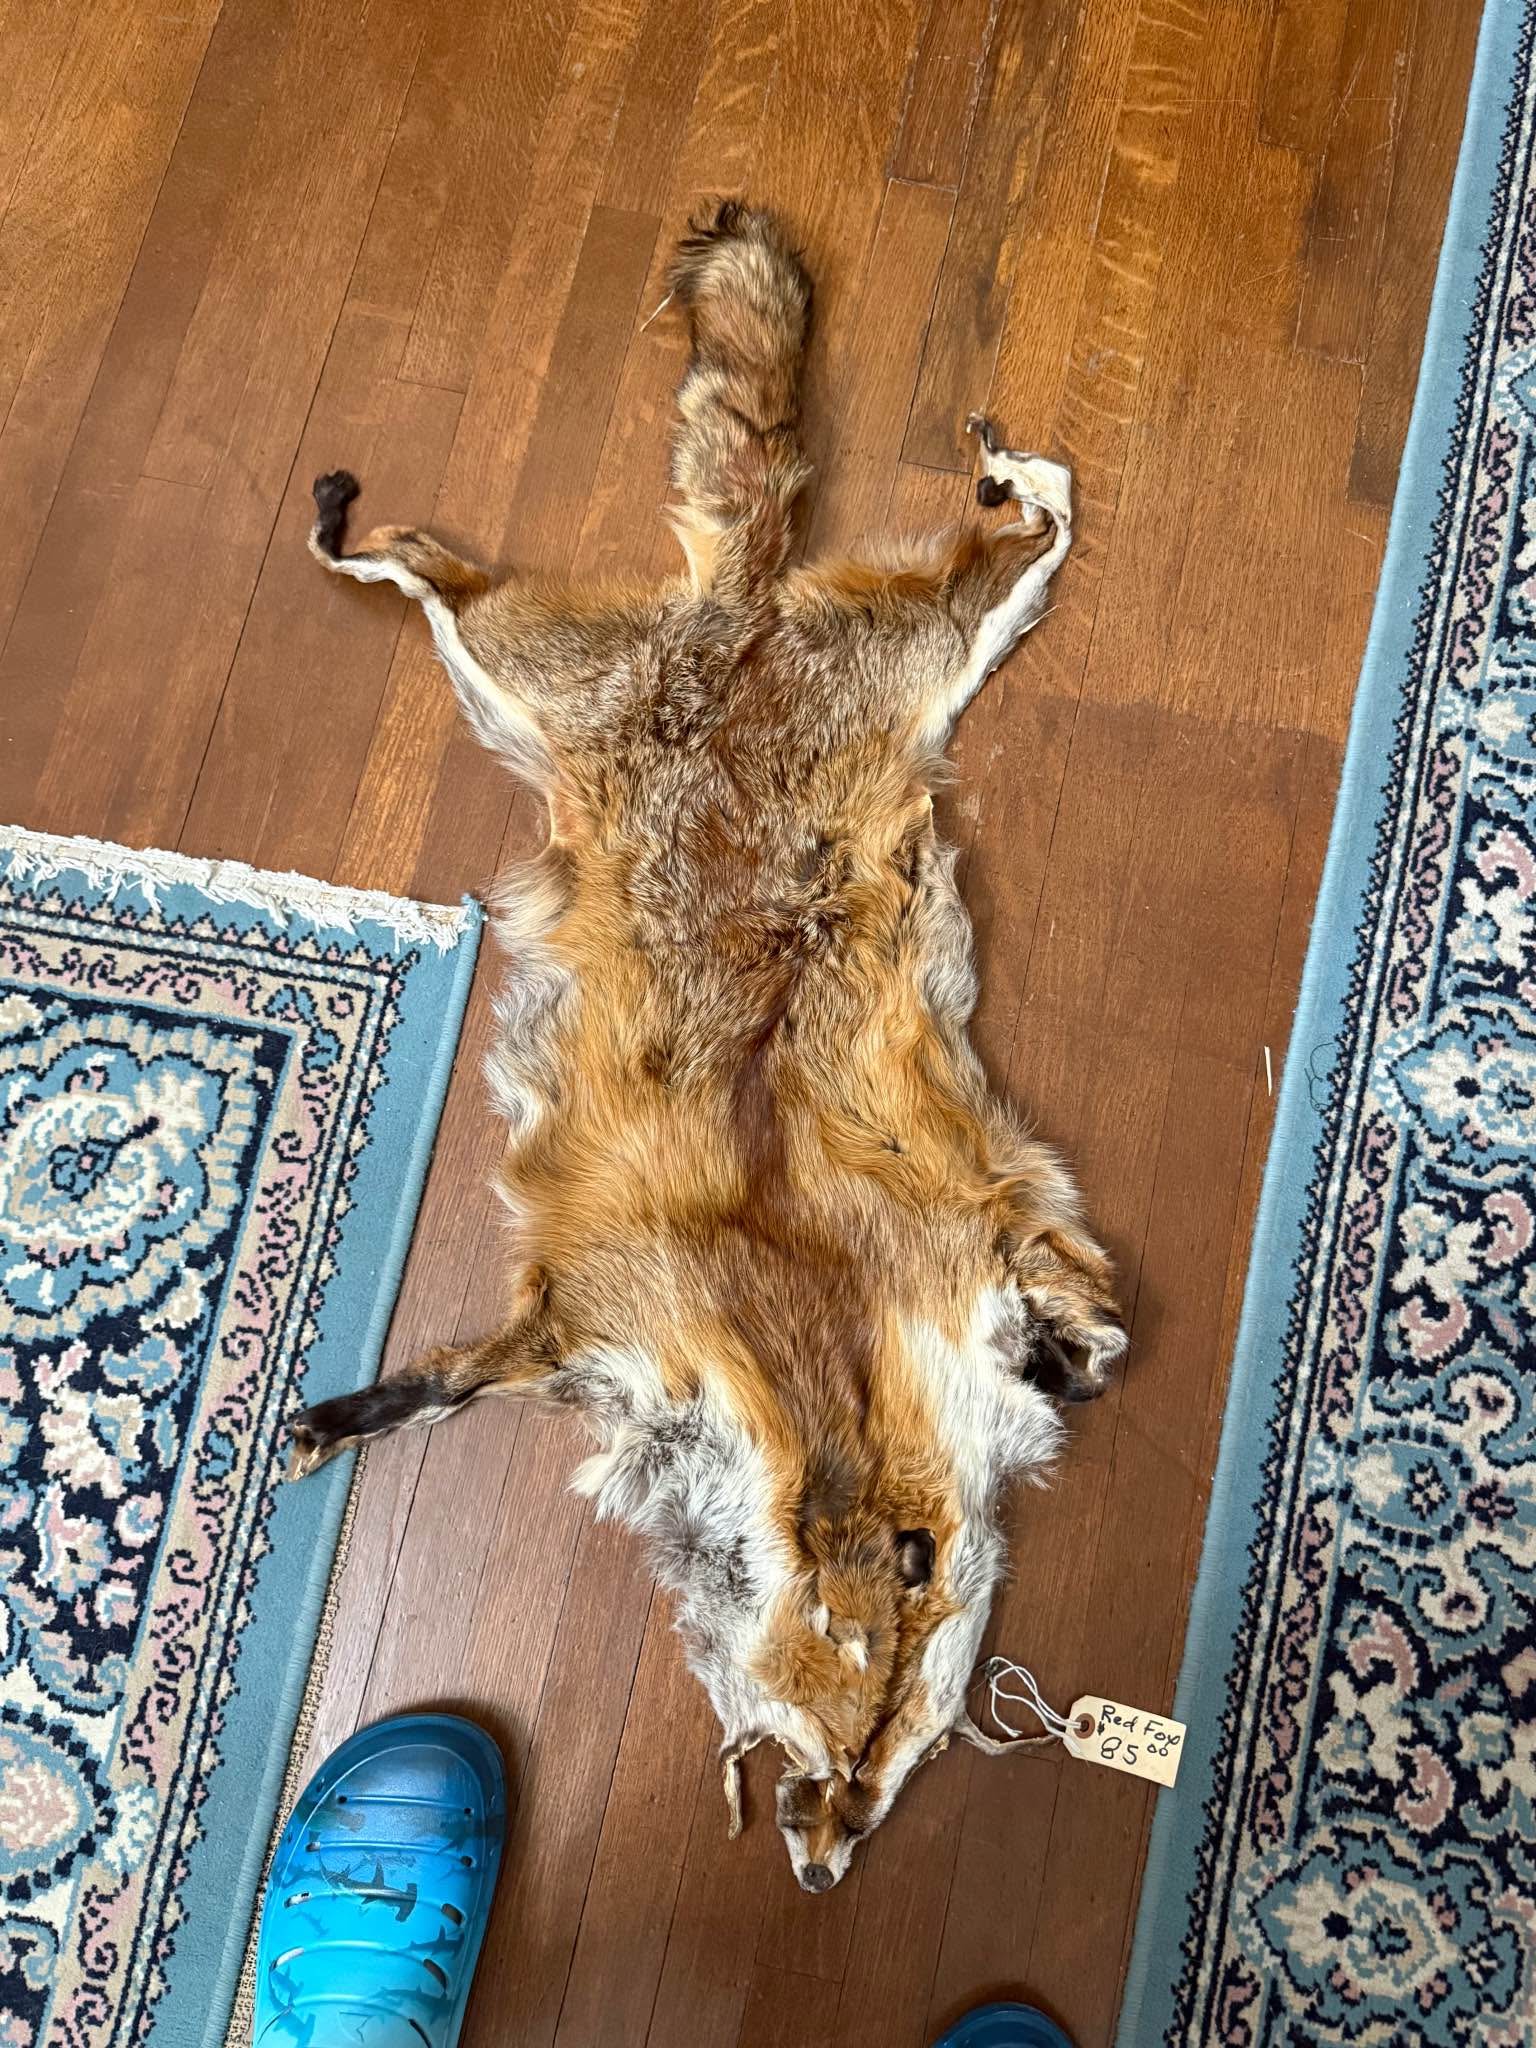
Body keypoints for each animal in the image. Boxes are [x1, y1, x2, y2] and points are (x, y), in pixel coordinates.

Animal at [289, 201, 1124, 1892]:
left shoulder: (967, 1234)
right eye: (861, 1750)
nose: (821, 1878)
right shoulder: (598, 1305)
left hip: (849, 656)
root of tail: (738, 624)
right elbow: (440, 1386)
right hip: (542, 660)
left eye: (898, 1770)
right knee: (429, 566)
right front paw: (344, 1421)